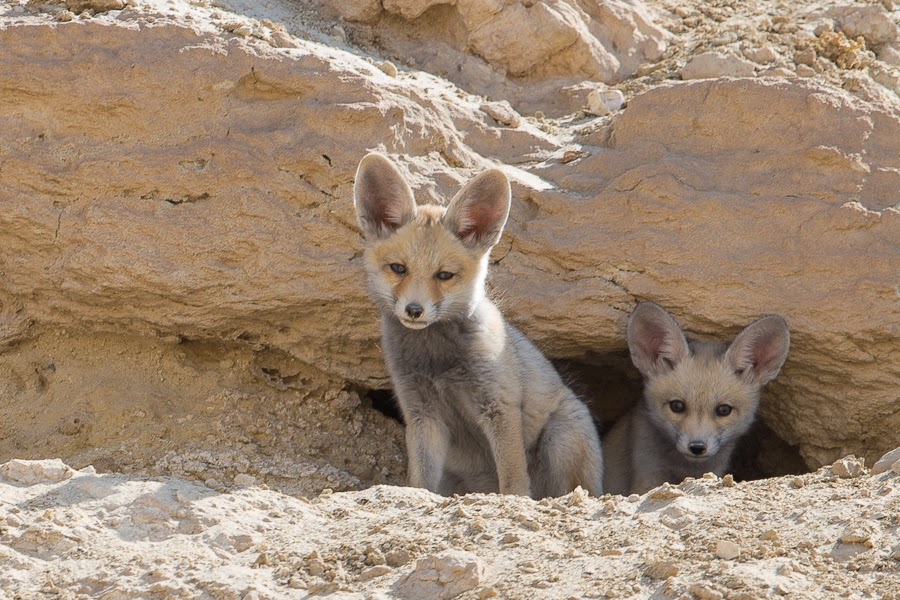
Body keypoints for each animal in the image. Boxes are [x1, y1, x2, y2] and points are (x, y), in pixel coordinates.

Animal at [353, 152, 603, 499]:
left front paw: (513, 501)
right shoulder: (421, 414)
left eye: (444, 275)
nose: (414, 310)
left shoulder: (499, 406)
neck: (437, 362)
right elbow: (420, 481)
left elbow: (513, 481)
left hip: (561, 437)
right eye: (398, 269)